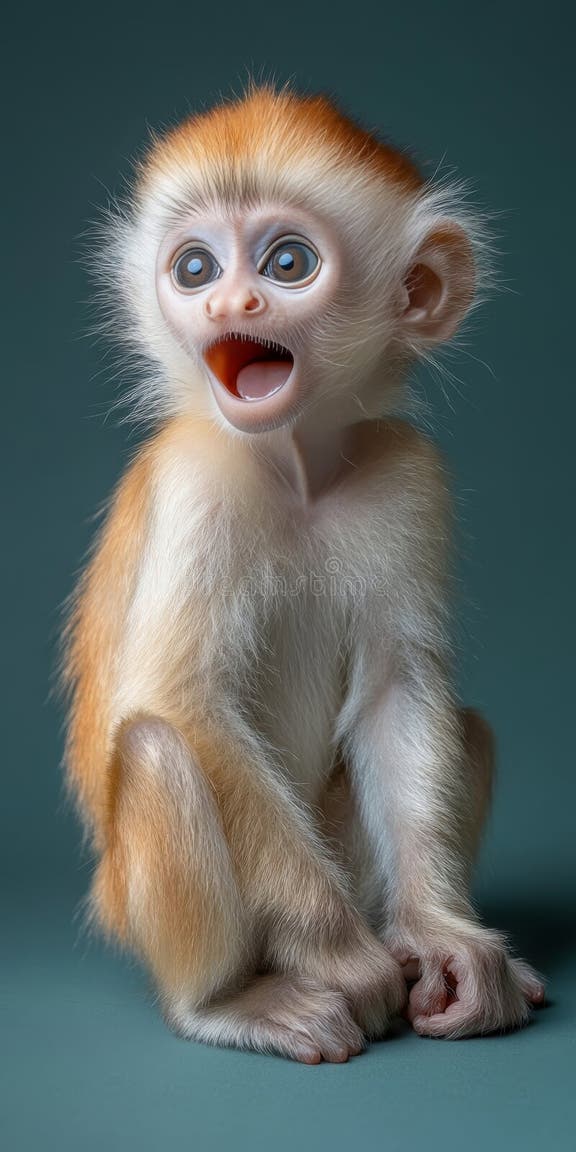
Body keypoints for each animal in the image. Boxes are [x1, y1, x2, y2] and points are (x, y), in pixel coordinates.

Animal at [62, 86, 545, 1063]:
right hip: (138, 907)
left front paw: (445, 937)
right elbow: (182, 696)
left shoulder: (409, 473)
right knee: (158, 749)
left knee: (466, 726)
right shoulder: (198, 477)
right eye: (195, 267)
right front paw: (339, 955)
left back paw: (410, 937)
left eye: (288, 262)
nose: (230, 301)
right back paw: (231, 1000)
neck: (295, 471)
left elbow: (399, 688)